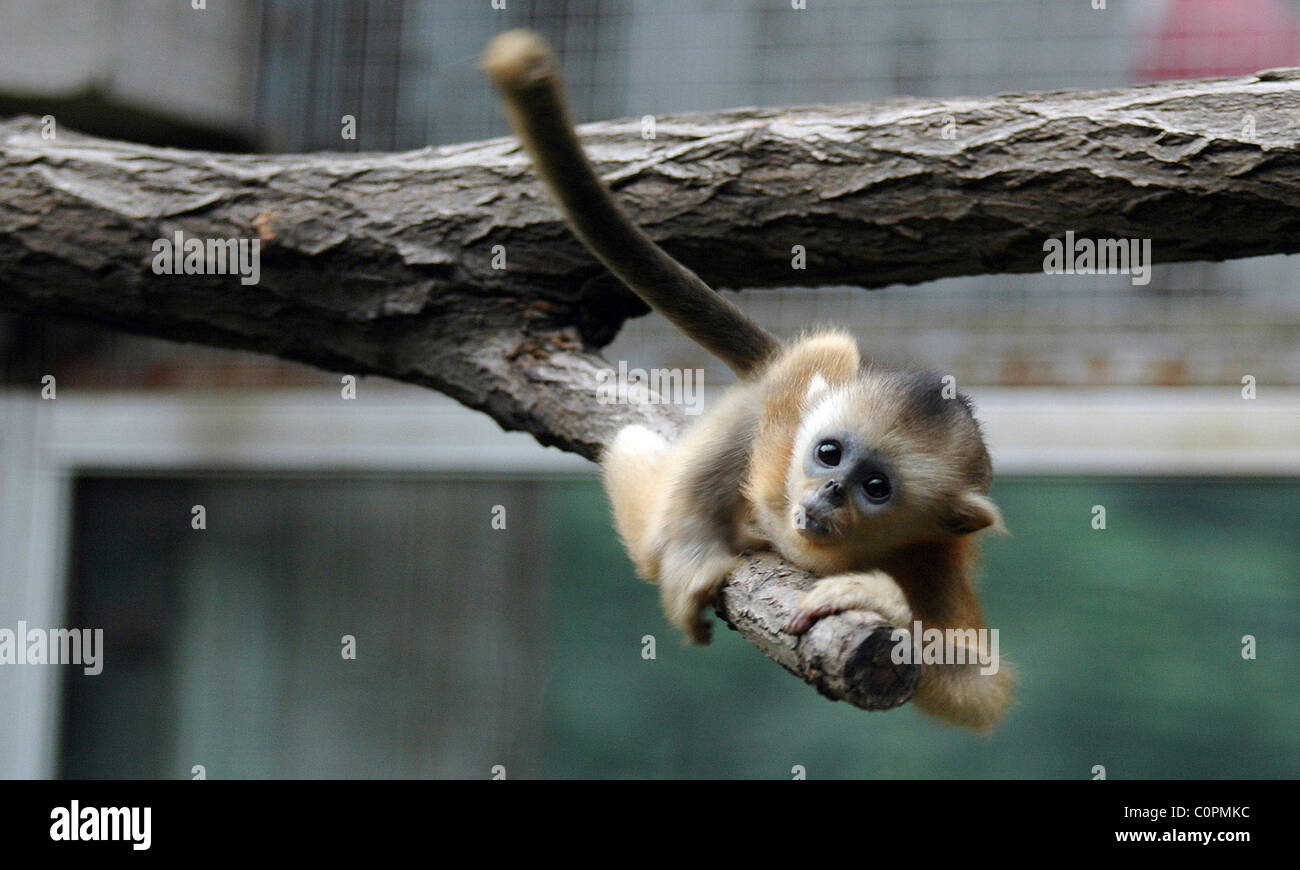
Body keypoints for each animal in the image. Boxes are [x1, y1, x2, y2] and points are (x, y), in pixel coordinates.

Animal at [483, 30, 1013, 730]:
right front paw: (693, 553)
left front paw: (880, 600)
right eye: (828, 454)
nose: (826, 494)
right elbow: (794, 373)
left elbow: (978, 691)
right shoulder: (782, 434)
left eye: (875, 487)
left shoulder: (931, 559)